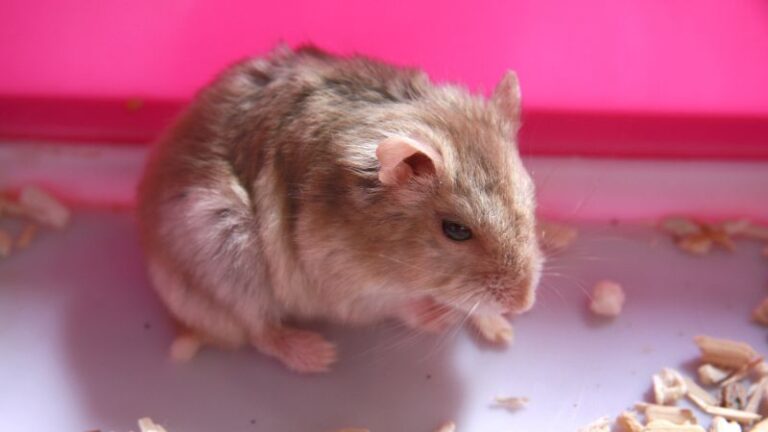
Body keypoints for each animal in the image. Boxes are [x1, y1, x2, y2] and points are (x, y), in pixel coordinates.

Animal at [137, 45, 543, 373]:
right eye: (456, 230)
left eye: (530, 194)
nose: (524, 305)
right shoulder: (342, 286)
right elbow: (397, 307)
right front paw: (439, 316)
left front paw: (500, 329)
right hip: (222, 256)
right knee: (256, 328)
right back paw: (317, 355)